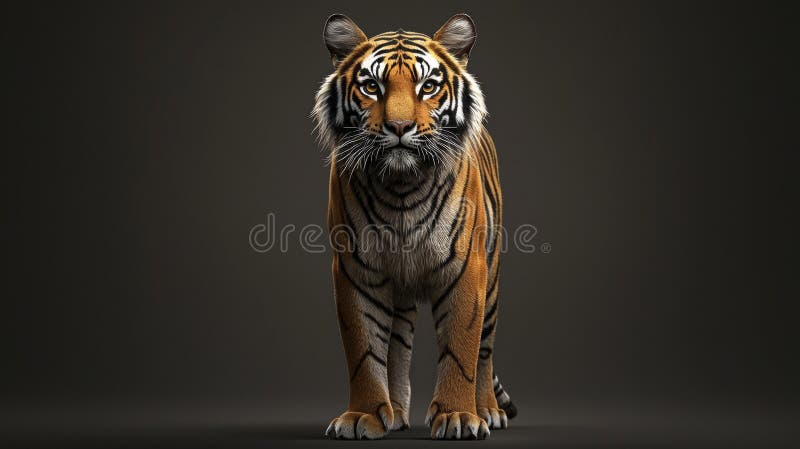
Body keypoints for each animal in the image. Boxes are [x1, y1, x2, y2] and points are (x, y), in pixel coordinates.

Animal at [312, 13, 516, 440]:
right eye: (372, 86)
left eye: (429, 86)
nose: (400, 127)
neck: (401, 186)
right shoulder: (357, 271)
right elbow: (365, 350)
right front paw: (363, 416)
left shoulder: (466, 269)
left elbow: (461, 348)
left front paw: (458, 417)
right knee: (396, 346)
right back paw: (395, 412)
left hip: (491, 283)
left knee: (485, 349)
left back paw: (487, 409)